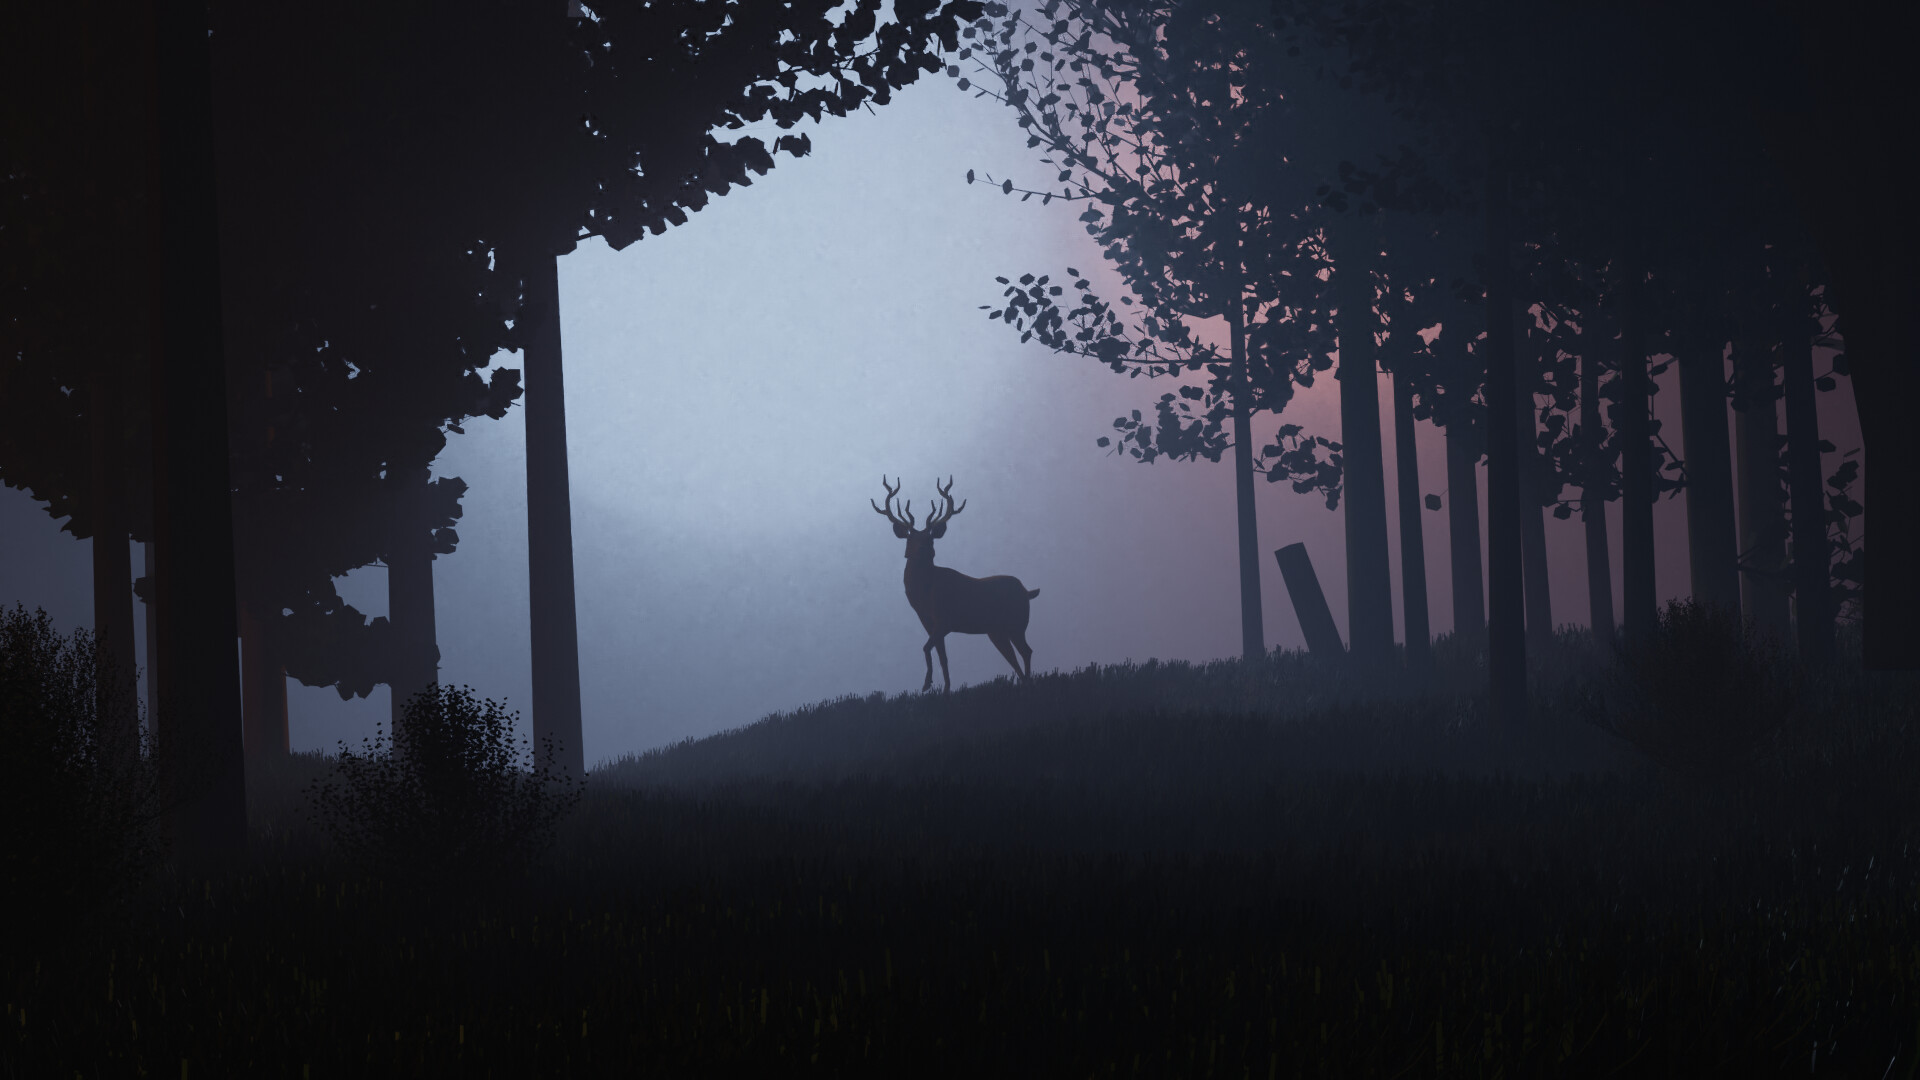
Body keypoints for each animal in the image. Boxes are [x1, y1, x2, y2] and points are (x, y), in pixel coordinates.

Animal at [872, 476, 1039, 693]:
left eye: (930, 539)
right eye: (910, 539)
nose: (923, 550)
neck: (924, 596)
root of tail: (1027, 591)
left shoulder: (945, 620)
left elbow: (927, 648)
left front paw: (927, 683)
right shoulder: (929, 624)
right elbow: (943, 658)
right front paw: (944, 689)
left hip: (1017, 622)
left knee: (1026, 651)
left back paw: (1029, 683)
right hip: (997, 631)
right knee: (1013, 657)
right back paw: (1023, 683)